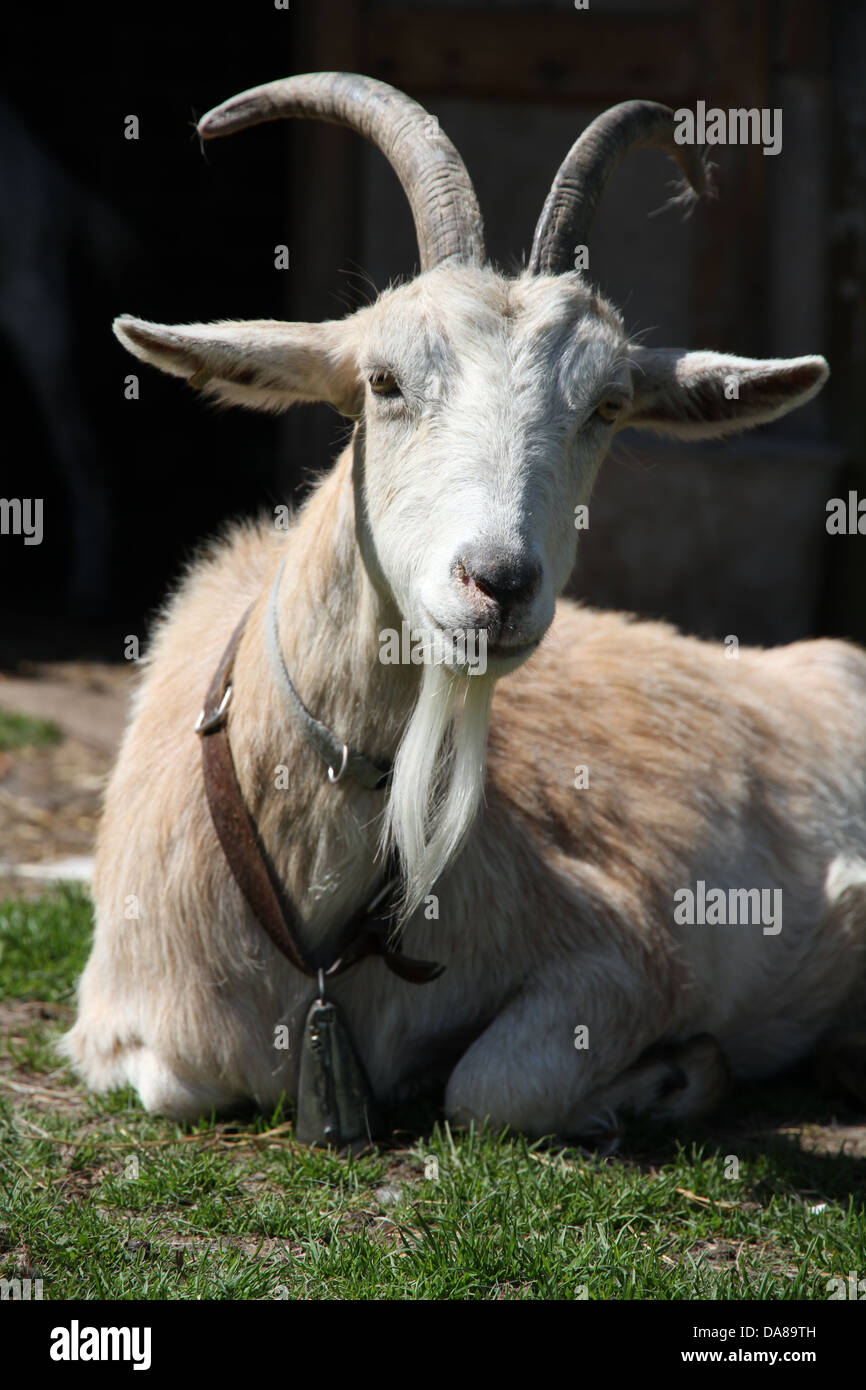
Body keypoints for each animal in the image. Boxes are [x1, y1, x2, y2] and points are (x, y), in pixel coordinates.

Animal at [63, 74, 866, 1137]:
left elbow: (490, 1088)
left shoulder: (630, 950)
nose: (498, 581)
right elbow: (178, 1083)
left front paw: (674, 1073)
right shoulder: (134, 1031)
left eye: (608, 405)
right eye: (383, 379)